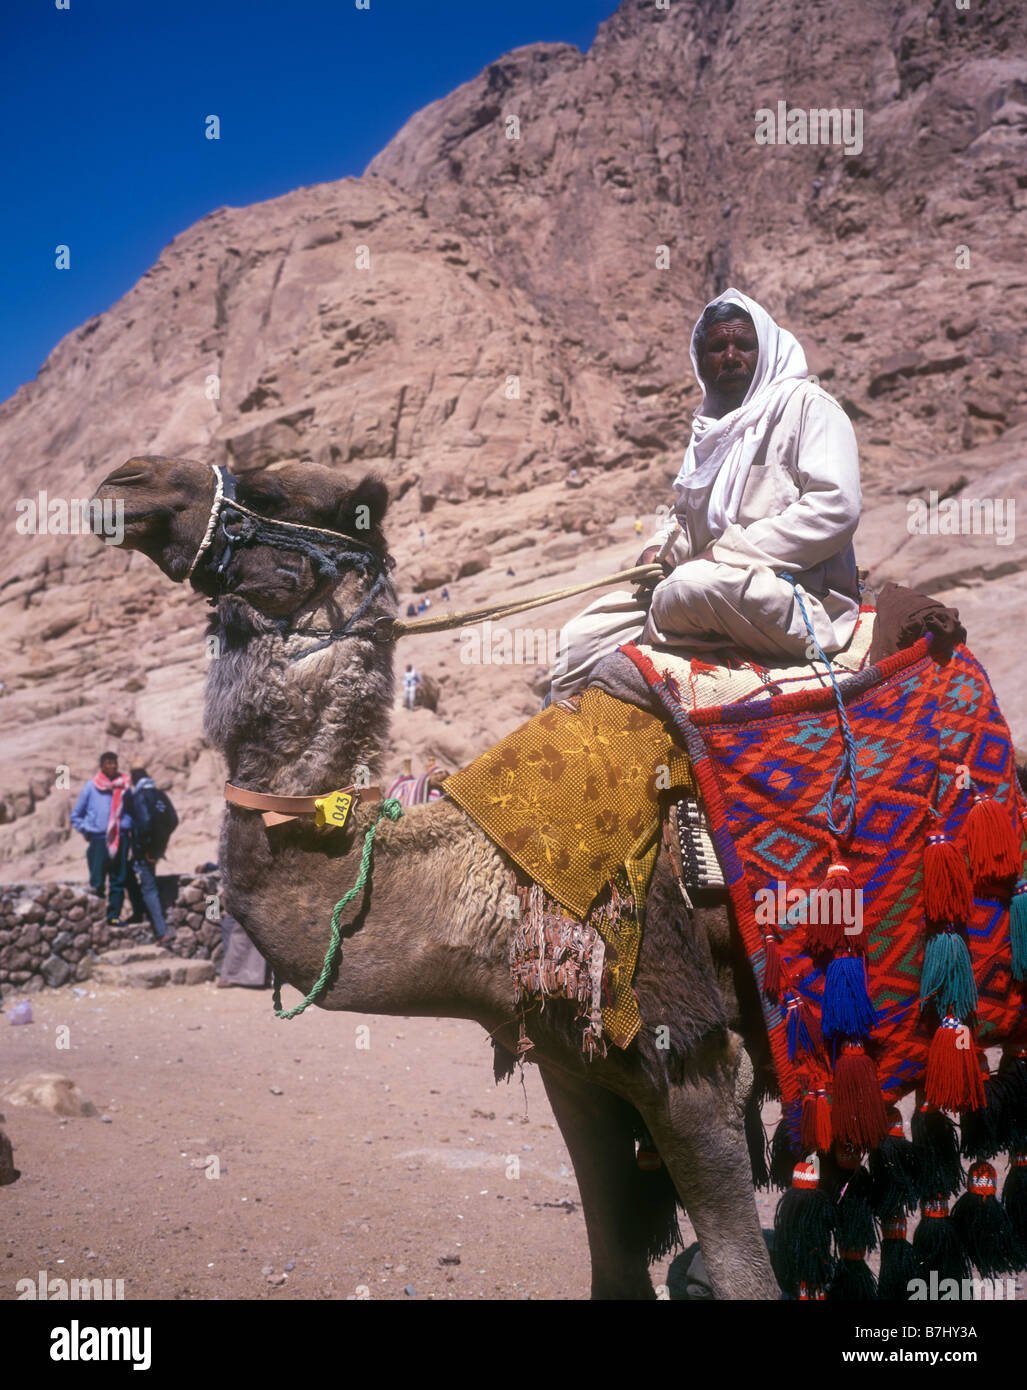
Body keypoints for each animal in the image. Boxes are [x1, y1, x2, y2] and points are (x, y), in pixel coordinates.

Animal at [93, 456, 779, 1300]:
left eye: (271, 490)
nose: (128, 479)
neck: (484, 874)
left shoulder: (692, 1058)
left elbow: (744, 1274)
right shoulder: (569, 1065)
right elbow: (612, 1262)